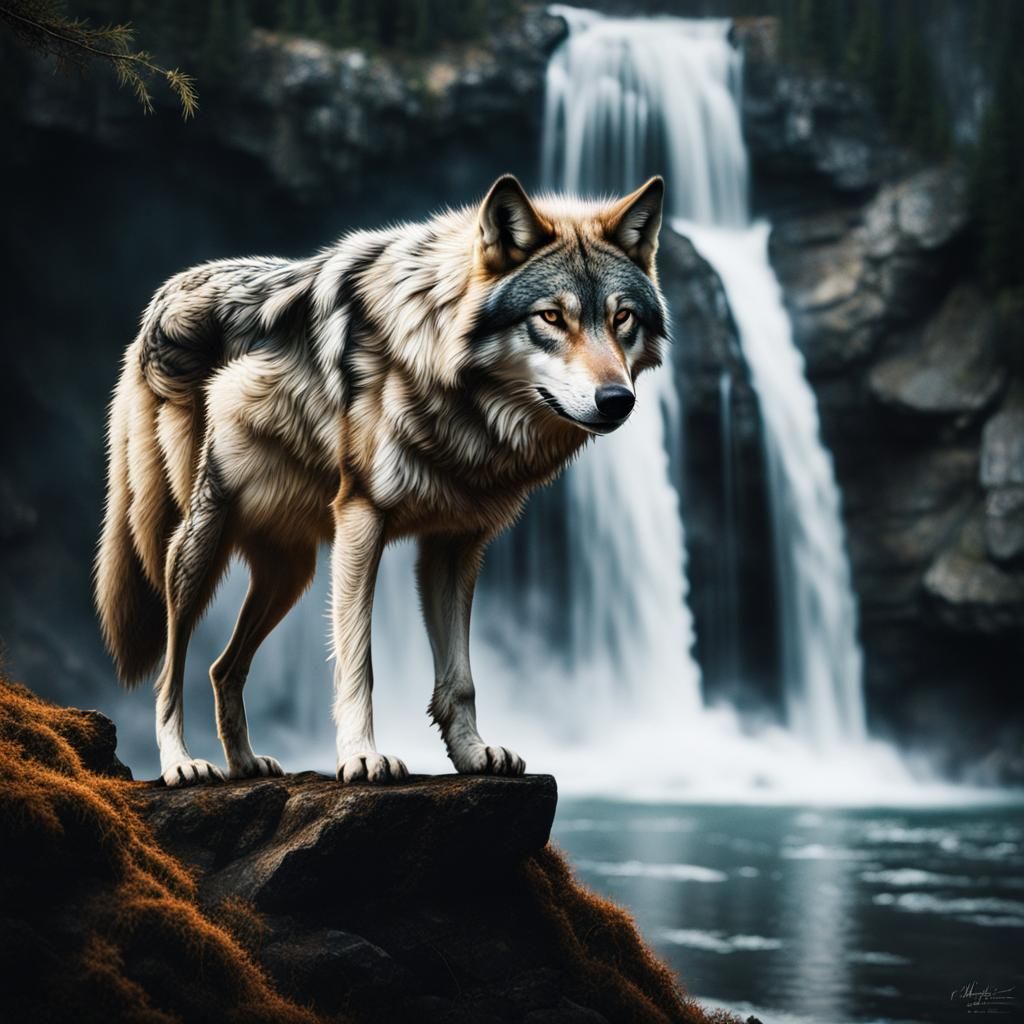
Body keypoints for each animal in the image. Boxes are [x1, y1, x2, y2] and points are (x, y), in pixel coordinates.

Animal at [95, 174, 667, 787]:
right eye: (552, 317)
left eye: (622, 318)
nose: (617, 400)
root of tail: (166, 291)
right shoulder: (360, 520)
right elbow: (357, 662)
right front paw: (363, 756)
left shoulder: (455, 545)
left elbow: (460, 678)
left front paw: (473, 754)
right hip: (199, 546)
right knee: (171, 669)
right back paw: (182, 763)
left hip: (290, 574)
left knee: (223, 667)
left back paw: (247, 763)